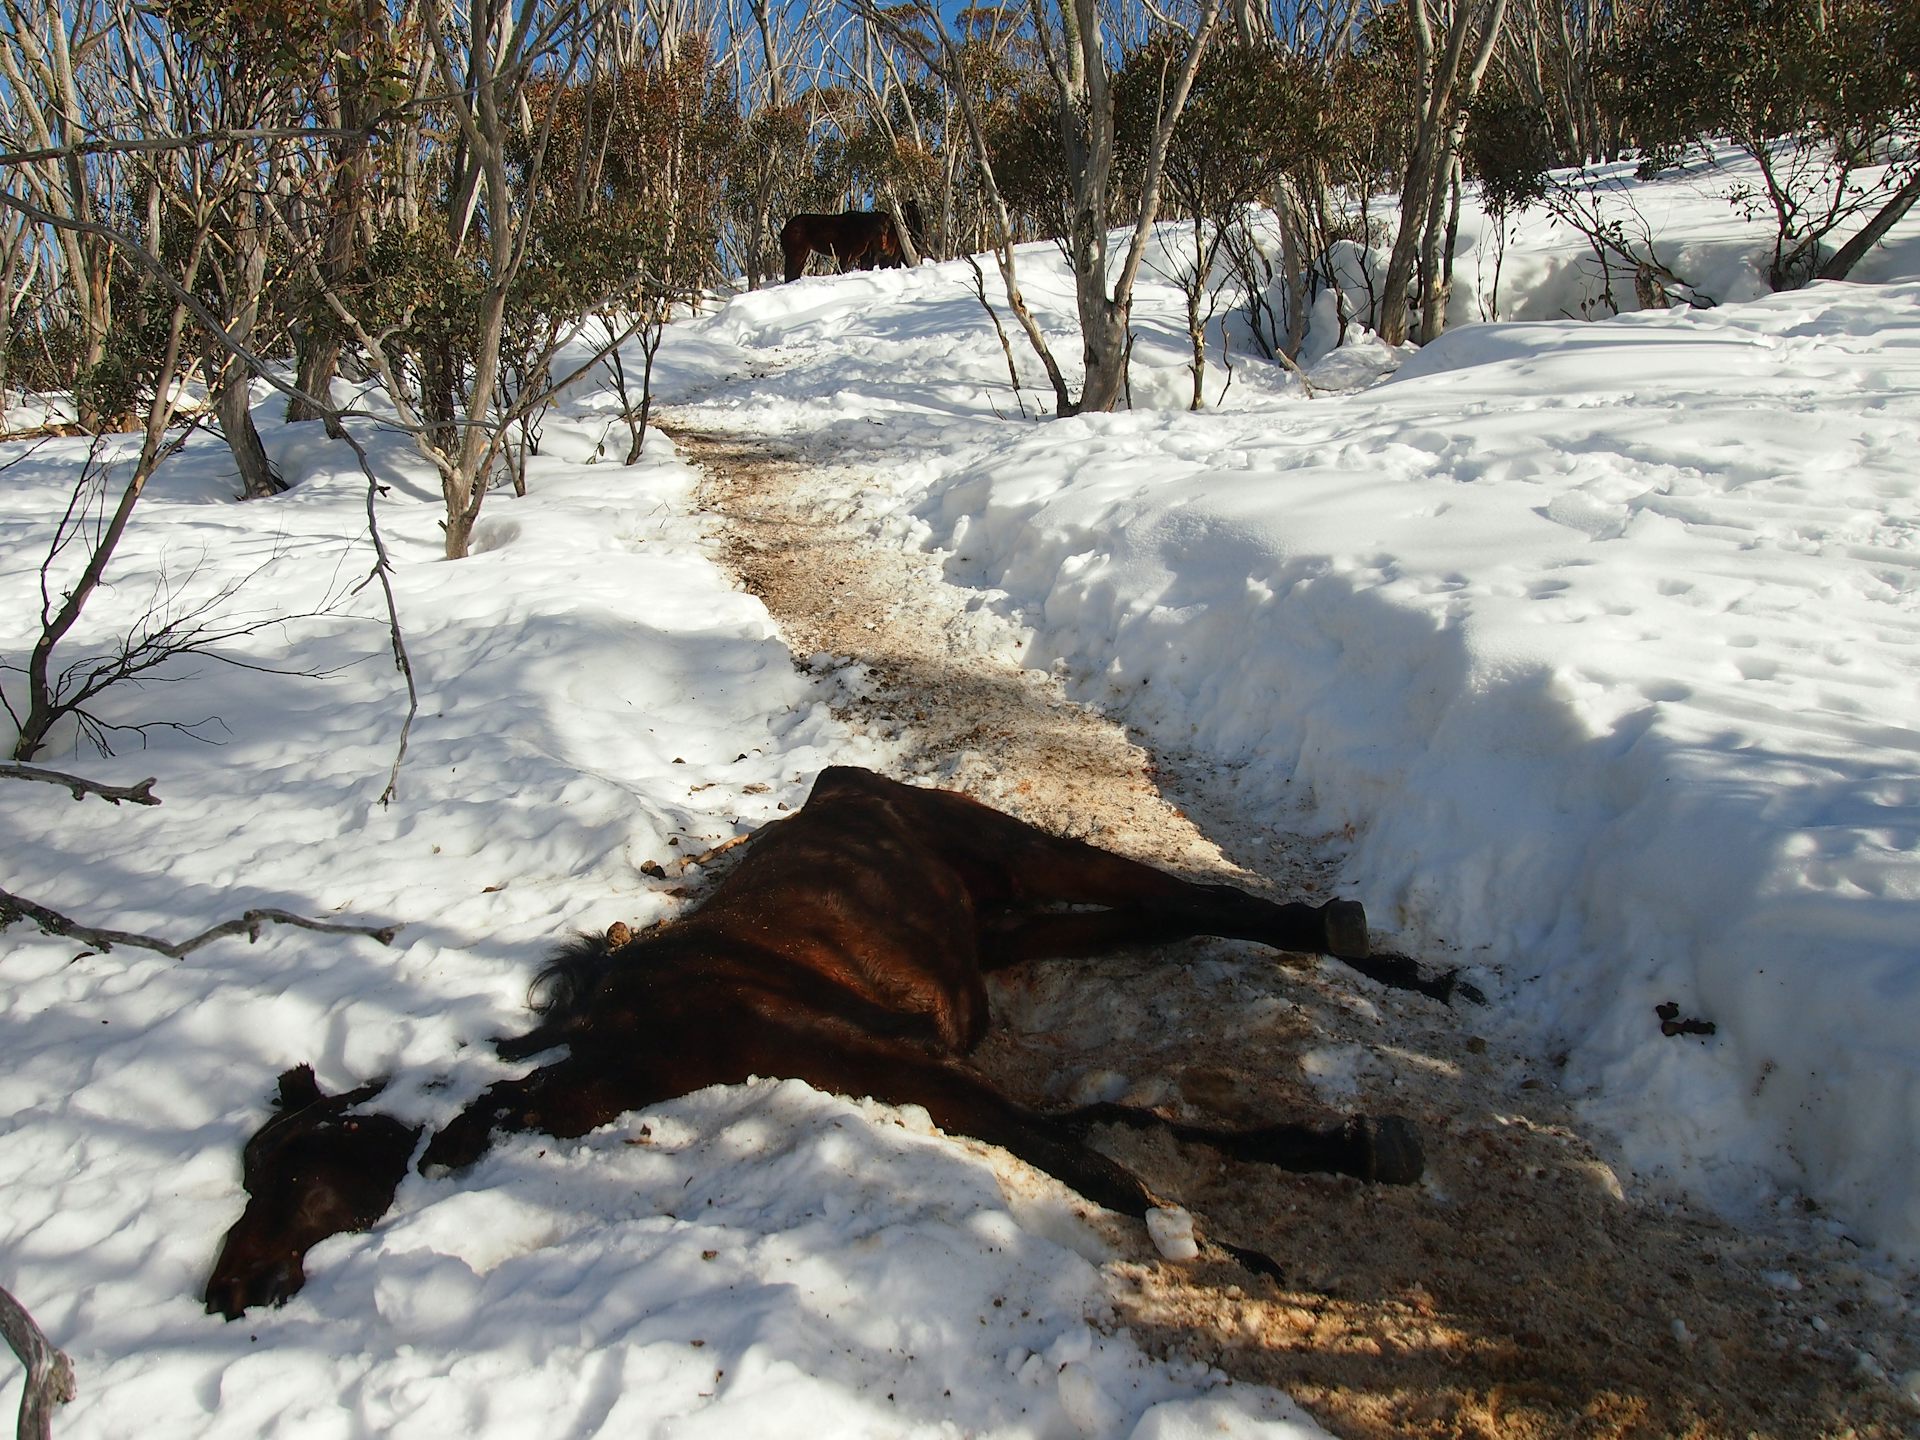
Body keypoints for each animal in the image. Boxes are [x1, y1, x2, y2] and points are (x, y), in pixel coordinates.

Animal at [204, 765, 1442, 1320]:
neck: (626, 1044)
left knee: (1179, 893)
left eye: (294, 1170)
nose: (228, 1286)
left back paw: (1376, 951)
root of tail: (853, 783)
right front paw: (1342, 1158)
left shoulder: (904, 1063)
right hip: (1005, 931)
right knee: (1159, 920)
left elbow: (1096, 1161)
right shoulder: (927, 1075)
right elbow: (1105, 1134)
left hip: (1024, 855)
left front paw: (1244, 1254)